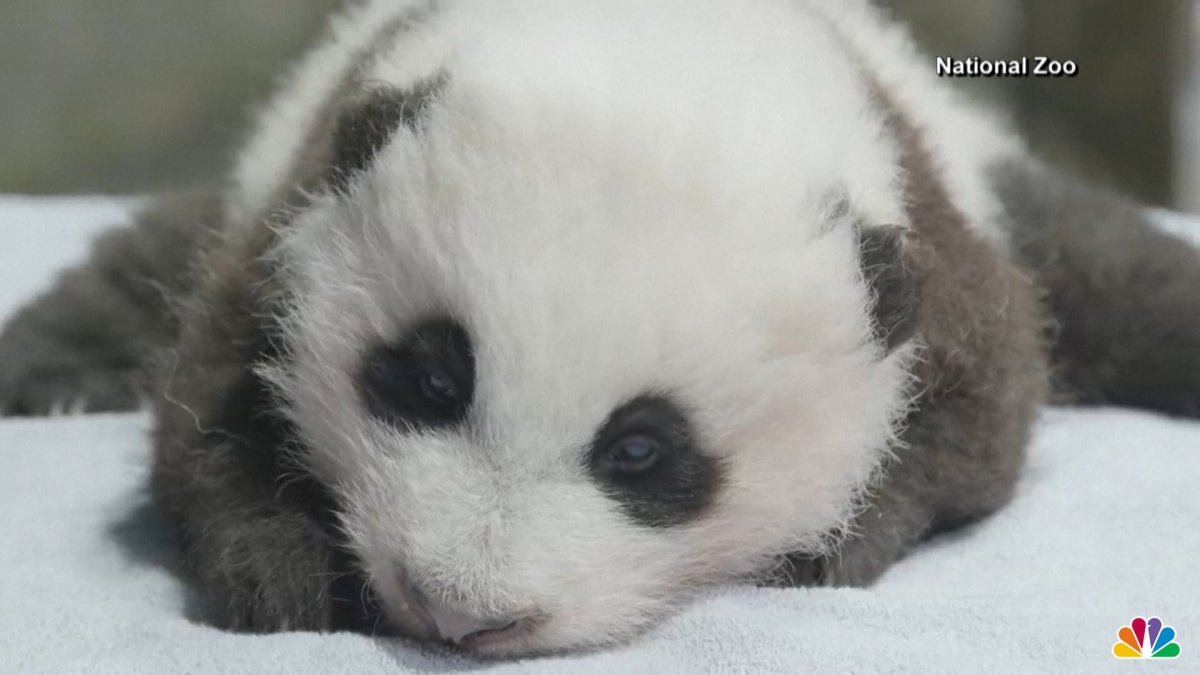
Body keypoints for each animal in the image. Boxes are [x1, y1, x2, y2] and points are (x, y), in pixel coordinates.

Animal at [2, 0, 1198, 659]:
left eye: (642, 452)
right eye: (429, 379)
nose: (458, 614)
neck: (653, 52)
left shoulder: (938, 273)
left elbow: (979, 429)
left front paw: (833, 536)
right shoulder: (294, 213)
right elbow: (209, 405)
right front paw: (286, 572)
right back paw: (45, 368)